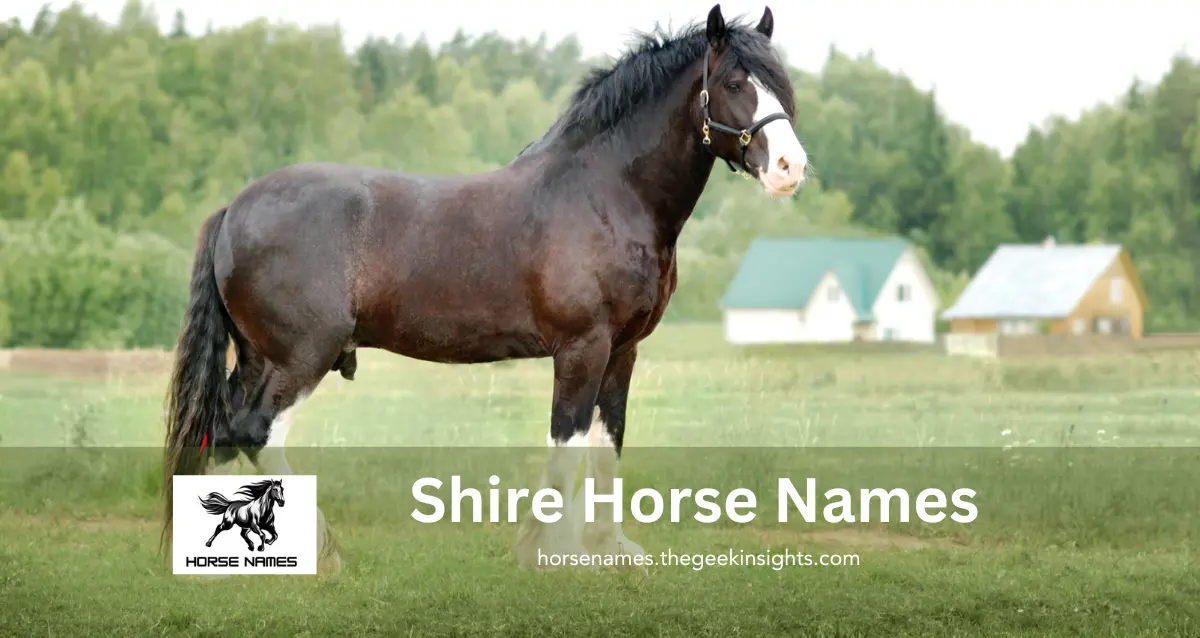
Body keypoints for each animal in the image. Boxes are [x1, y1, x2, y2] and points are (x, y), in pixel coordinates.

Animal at [161, 4, 808, 572]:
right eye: (734, 81)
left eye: (782, 84)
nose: (790, 168)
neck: (604, 193)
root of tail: (235, 208)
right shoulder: (583, 347)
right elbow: (567, 446)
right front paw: (553, 553)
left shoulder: (622, 350)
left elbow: (607, 445)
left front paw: (609, 549)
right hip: (298, 356)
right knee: (257, 431)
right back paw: (324, 553)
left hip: (258, 356)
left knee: (223, 430)